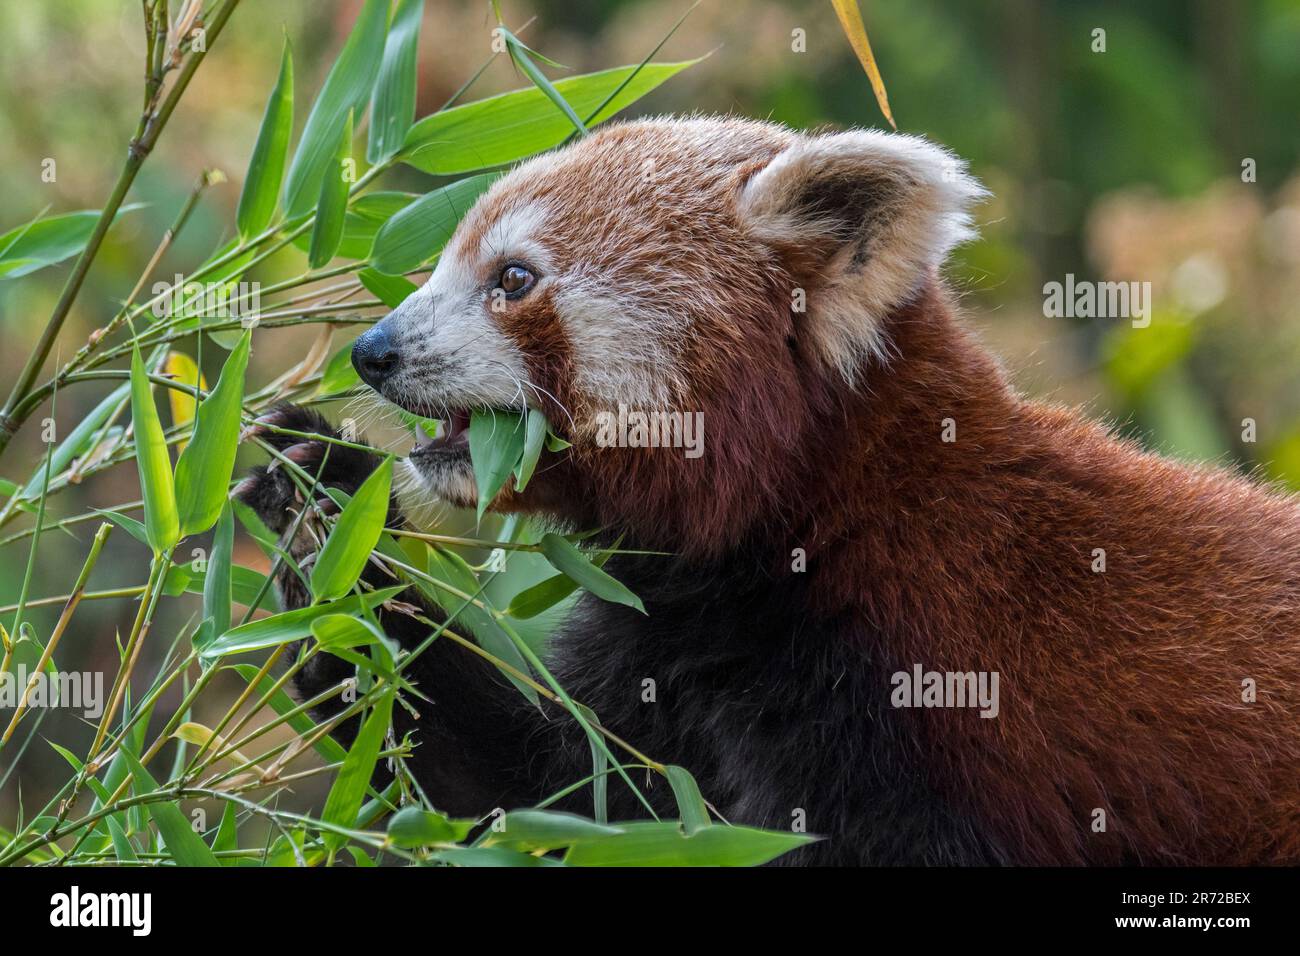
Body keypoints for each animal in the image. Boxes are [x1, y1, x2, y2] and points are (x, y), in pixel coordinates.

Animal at [237, 116, 1300, 865]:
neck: (815, 525)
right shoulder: (659, 647)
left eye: (512, 279)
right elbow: (548, 796)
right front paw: (315, 505)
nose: (373, 352)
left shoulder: (935, 692)